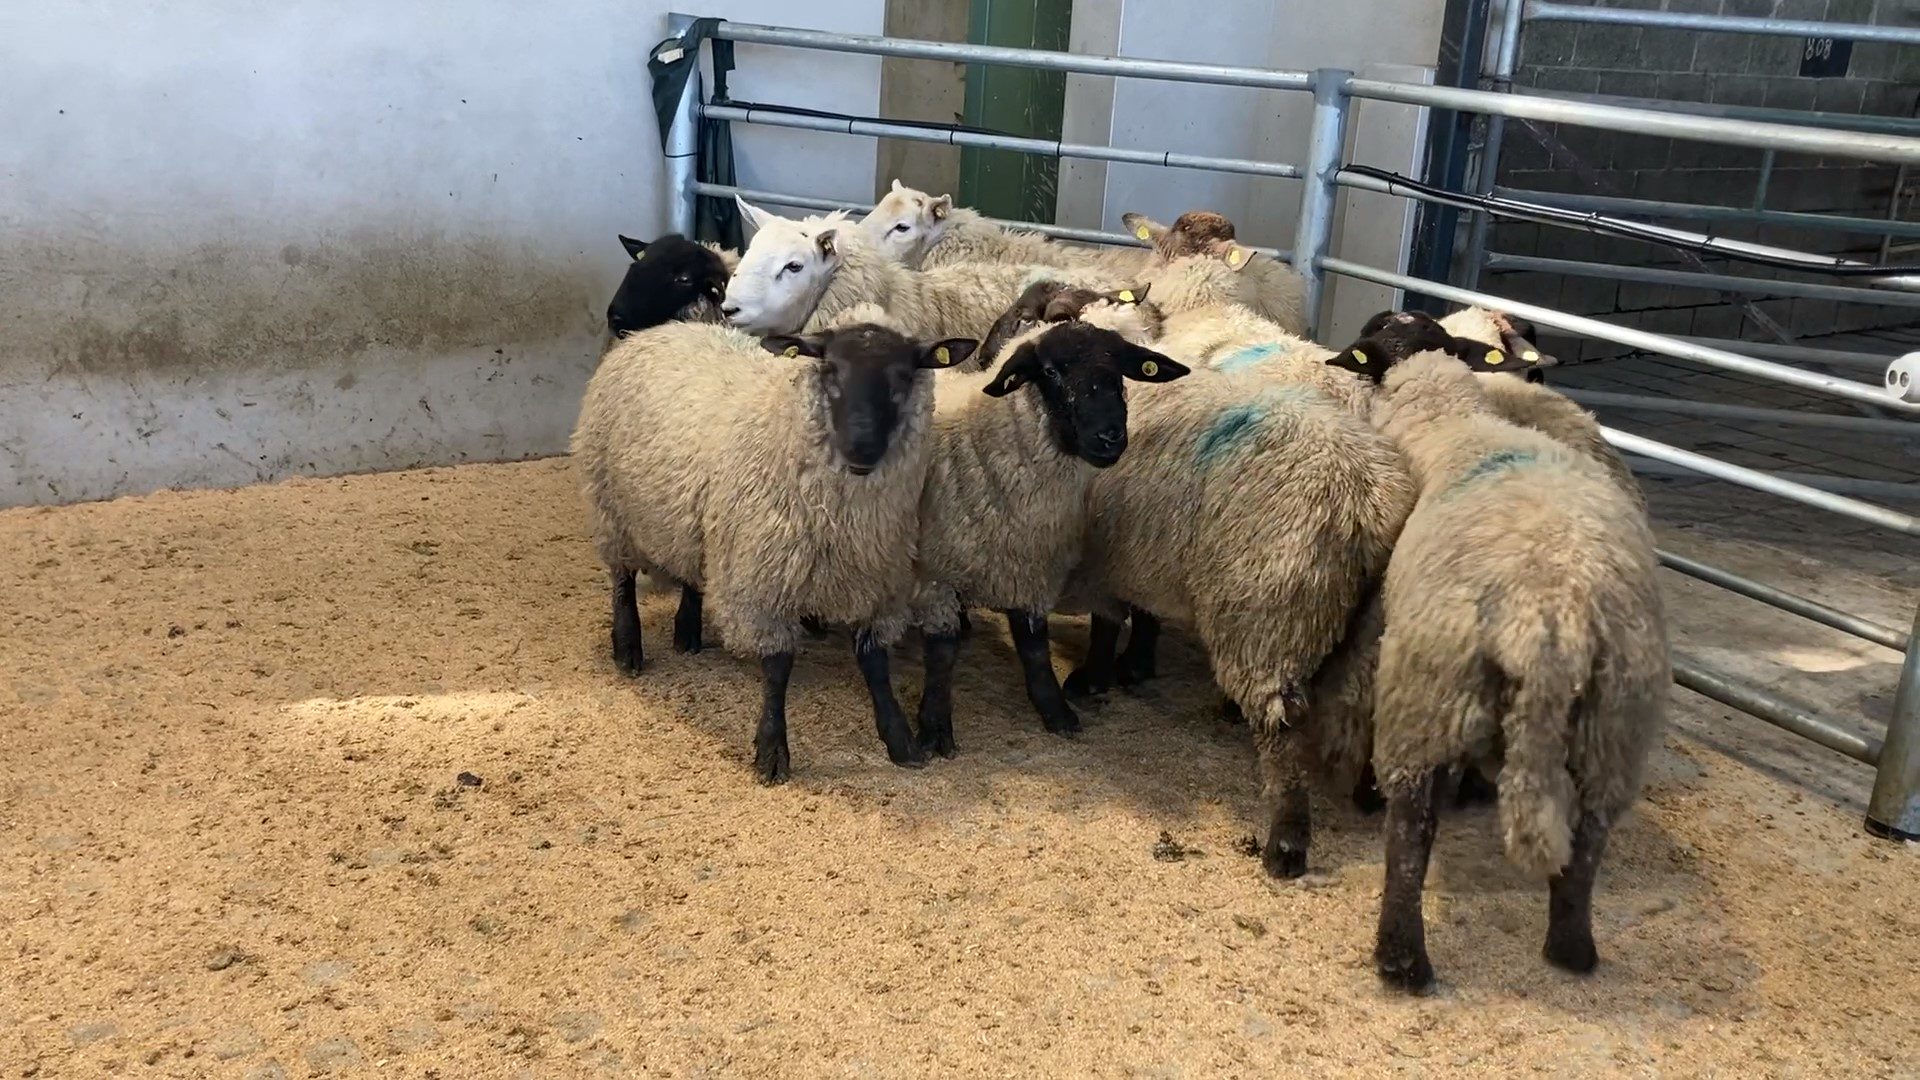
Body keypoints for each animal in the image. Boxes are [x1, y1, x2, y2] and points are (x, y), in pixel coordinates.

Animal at [571, 316, 977, 782]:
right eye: (830, 370)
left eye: (904, 377)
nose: (861, 449)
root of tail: (658, 329)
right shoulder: (764, 578)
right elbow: (778, 667)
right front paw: (771, 751)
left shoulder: (875, 580)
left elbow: (875, 664)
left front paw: (900, 740)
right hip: (611, 509)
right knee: (621, 578)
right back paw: (627, 648)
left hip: (697, 522)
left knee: (693, 572)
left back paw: (687, 631)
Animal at [909, 284, 1188, 753]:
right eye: (1052, 372)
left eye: (1121, 372)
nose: (1110, 437)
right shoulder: (936, 570)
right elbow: (941, 654)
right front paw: (934, 726)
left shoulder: (1030, 565)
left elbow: (1035, 649)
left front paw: (1056, 711)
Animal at [1323, 331, 1666, 993]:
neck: (1454, 423)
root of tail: (1553, 620)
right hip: (1615, 726)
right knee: (1590, 837)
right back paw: (1572, 948)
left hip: (1427, 693)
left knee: (1411, 829)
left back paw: (1401, 958)